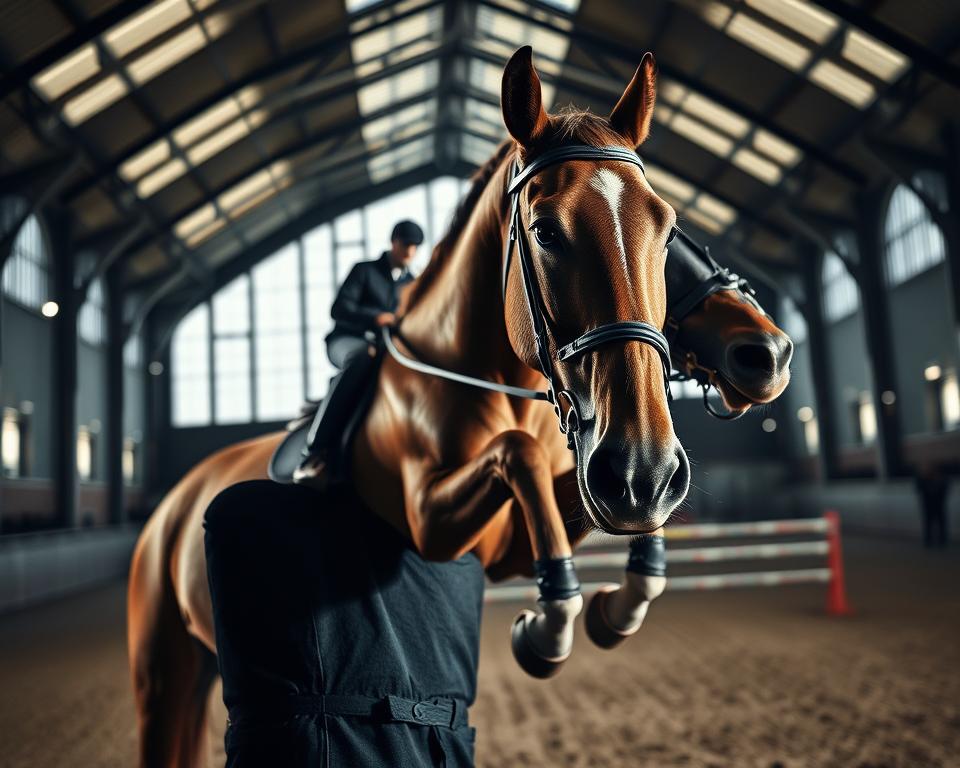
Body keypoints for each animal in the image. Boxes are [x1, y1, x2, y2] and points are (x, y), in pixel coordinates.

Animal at [127, 47, 792, 767]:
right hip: (163, 682)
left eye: (666, 231)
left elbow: (594, 505)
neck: (484, 382)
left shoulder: (521, 535)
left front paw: (619, 603)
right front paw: (547, 628)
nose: (768, 355)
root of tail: (171, 505)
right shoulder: (427, 522)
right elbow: (521, 456)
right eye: (545, 232)